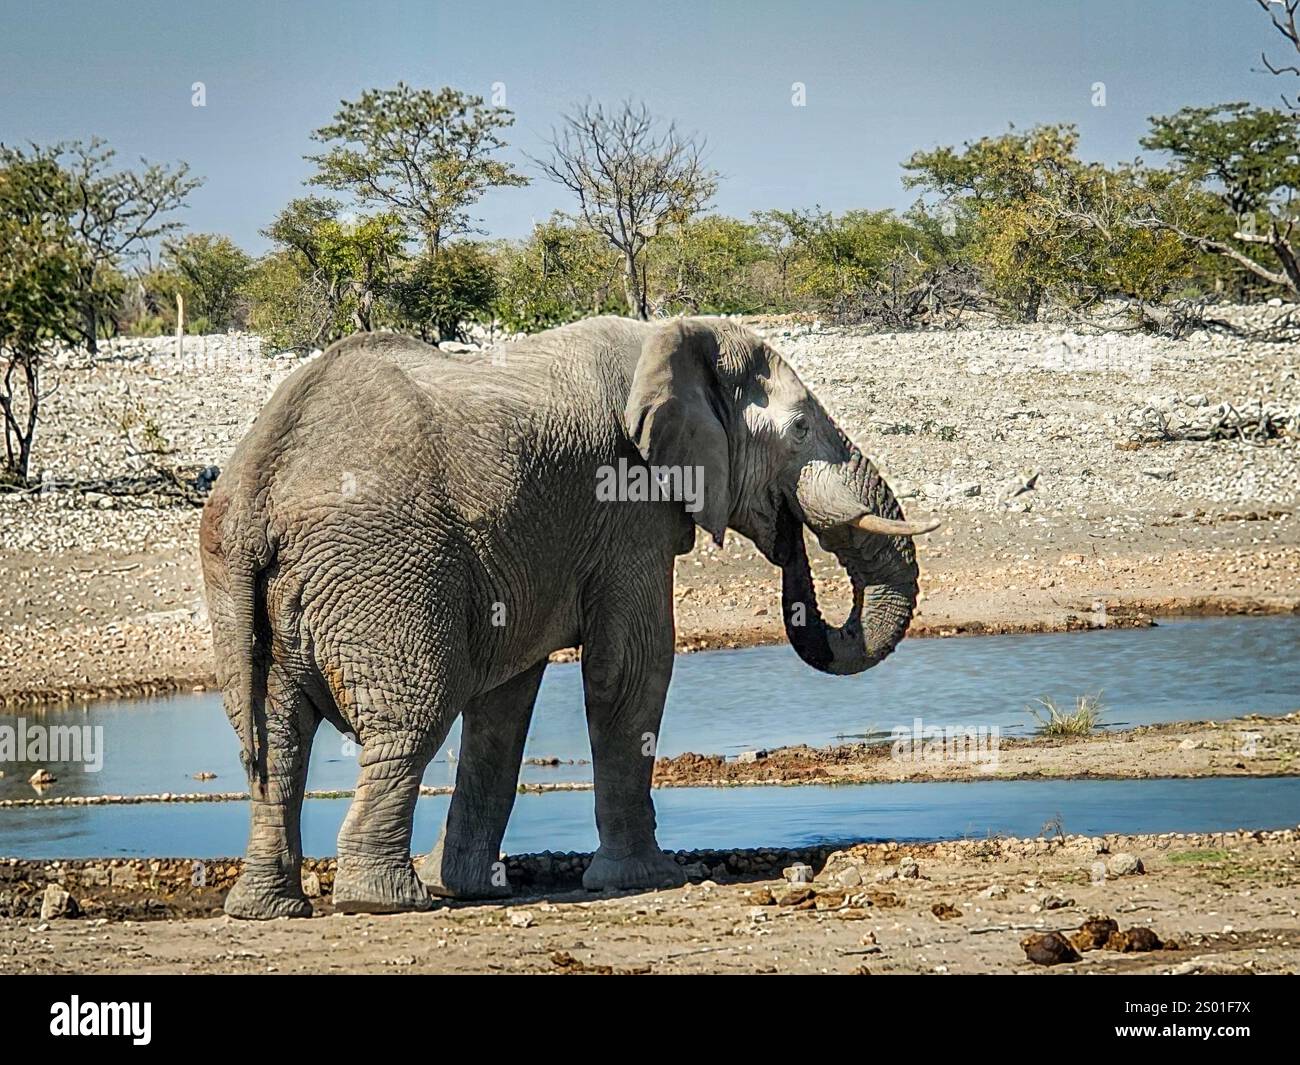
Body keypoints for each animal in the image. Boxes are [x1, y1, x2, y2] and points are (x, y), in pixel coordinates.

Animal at [199, 316, 937, 919]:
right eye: (800, 429)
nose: (789, 539)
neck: (668, 338)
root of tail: (260, 484)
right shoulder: (626, 505)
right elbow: (632, 666)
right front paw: (650, 878)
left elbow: (506, 700)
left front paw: (472, 886)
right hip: (381, 569)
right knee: (408, 720)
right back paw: (380, 901)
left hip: (245, 586)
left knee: (274, 738)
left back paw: (266, 908)